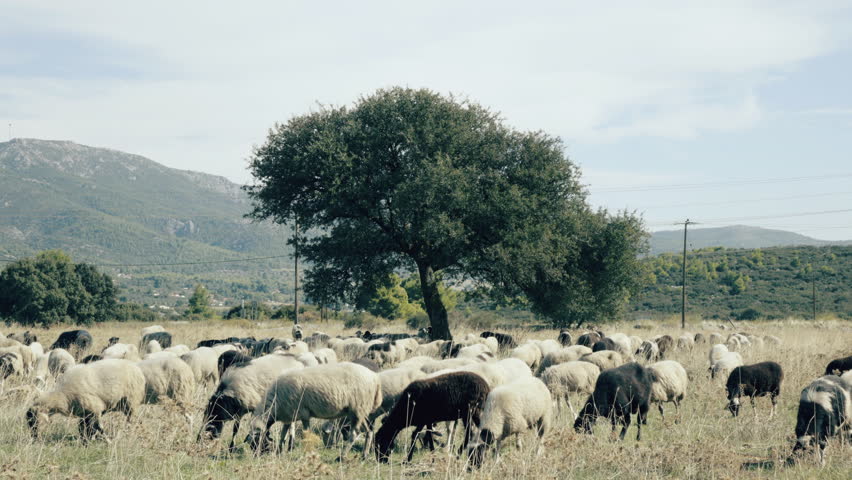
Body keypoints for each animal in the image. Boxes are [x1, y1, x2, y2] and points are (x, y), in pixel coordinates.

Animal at [246, 362, 381, 456]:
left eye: (256, 442)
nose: (256, 456)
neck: (275, 404)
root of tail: (375, 379)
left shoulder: (303, 414)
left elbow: (306, 434)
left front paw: (307, 453)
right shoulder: (289, 416)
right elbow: (283, 434)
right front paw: (279, 451)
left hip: (357, 408)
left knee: (354, 433)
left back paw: (342, 457)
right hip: (361, 411)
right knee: (369, 430)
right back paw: (364, 455)